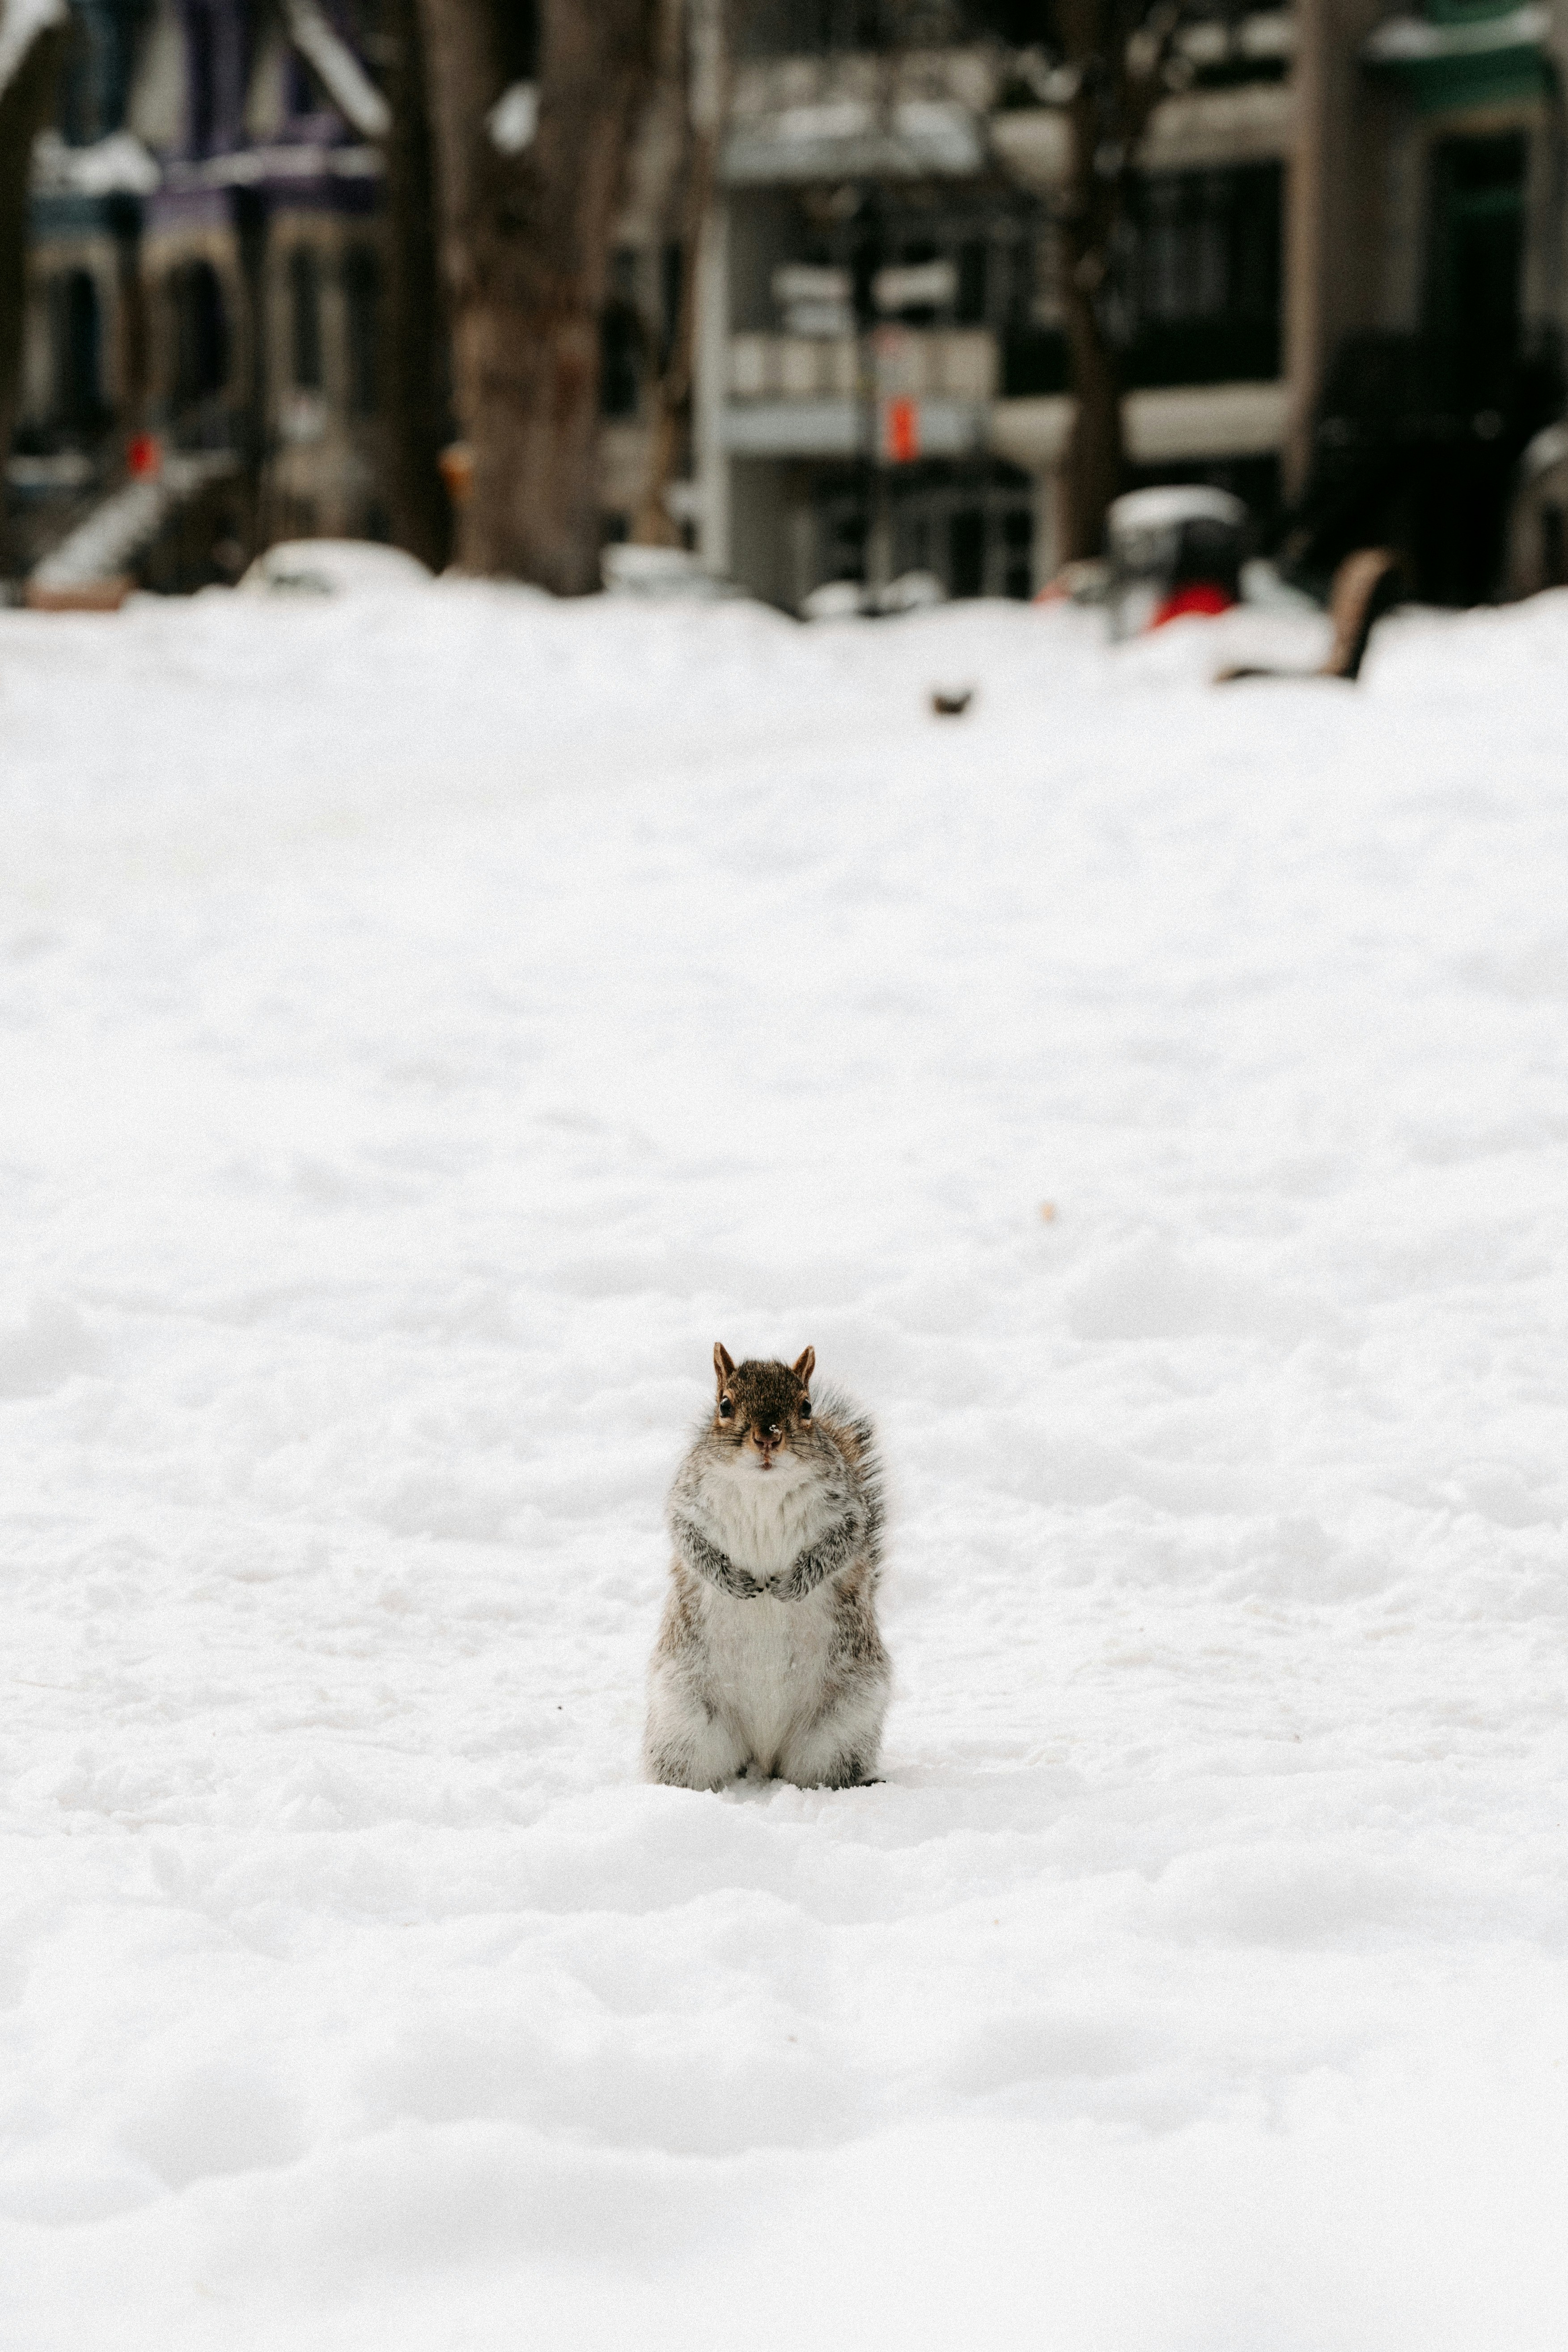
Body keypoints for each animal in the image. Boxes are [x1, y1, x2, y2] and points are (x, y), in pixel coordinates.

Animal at [644, 1344, 891, 1791]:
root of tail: (763, 1751)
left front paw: (792, 1585)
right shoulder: (687, 1500)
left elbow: (842, 1544)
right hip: (685, 1723)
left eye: (807, 1407)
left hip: (842, 1724)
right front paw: (732, 1582)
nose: (768, 1437)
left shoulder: (847, 1510)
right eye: (724, 1404)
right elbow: (689, 1540)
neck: (764, 1485)